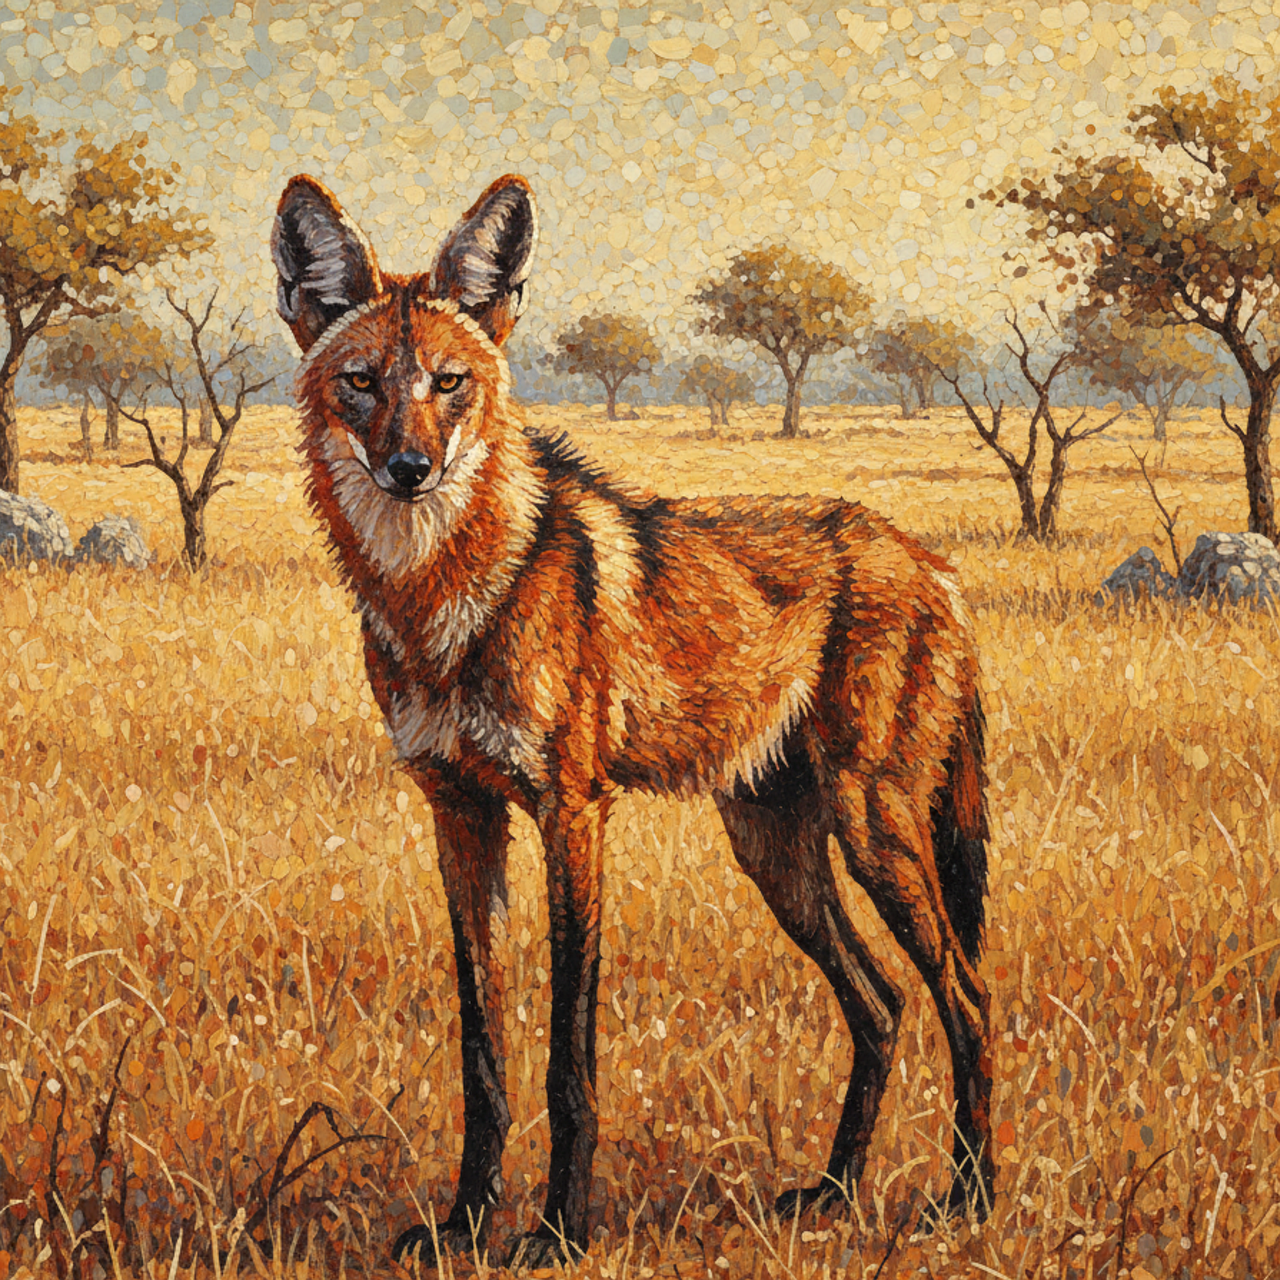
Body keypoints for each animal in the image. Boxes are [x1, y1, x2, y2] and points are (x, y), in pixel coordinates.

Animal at [272, 173, 994, 1268]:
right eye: (361, 383)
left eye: (448, 383)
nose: (409, 467)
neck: (440, 605)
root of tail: (931, 561)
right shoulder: (459, 815)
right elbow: (481, 1050)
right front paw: (465, 1222)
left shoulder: (572, 810)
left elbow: (569, 1054)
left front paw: (560, 1232)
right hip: (775, 854)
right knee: (881, 1004)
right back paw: (831, 1192)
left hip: (874, 832)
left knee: (968, 998)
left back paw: (968, 1200)